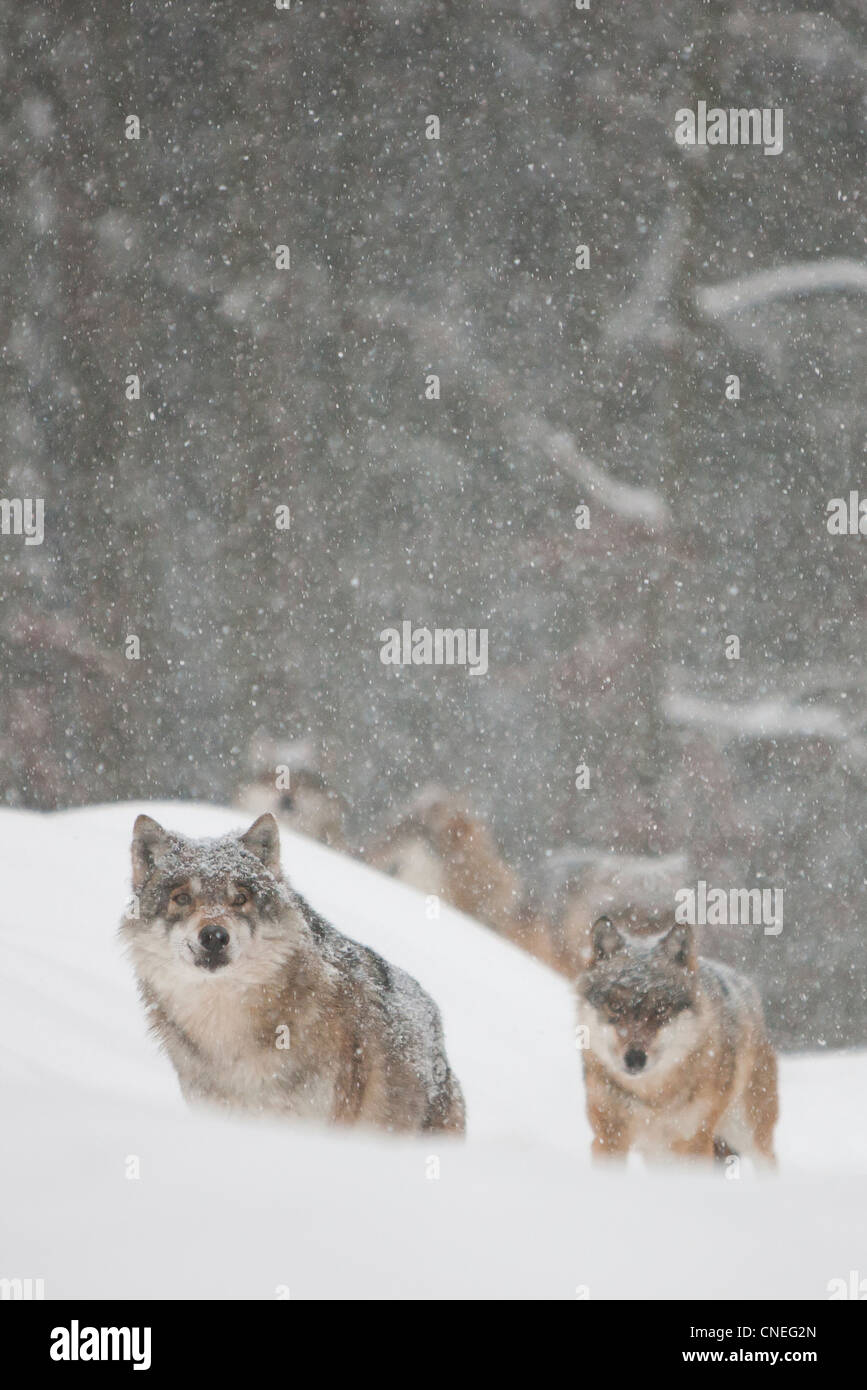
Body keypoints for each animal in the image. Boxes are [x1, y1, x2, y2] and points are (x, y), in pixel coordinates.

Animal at [576, 917, 777, 1165]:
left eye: (661, 1009)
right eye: (615, 1006)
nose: (634, 1059)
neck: (650, 1095)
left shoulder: (694, 1141)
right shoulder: (609, 1138)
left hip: (749, 1136)